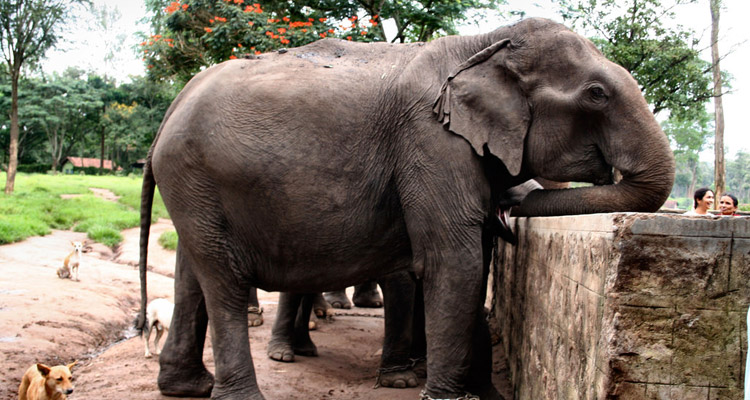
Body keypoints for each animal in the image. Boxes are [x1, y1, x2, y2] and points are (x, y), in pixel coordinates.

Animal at [137, 17, 675, 400]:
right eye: (596, 94)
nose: (517, 200)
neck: (484, 44)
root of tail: (174, 103)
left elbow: (471, 265)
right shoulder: (429, 140)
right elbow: (452, 262)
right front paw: (423, 391)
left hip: (194, 189)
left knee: (194, 269)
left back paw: (187, 388)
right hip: (195, 175)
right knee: (223, 280)